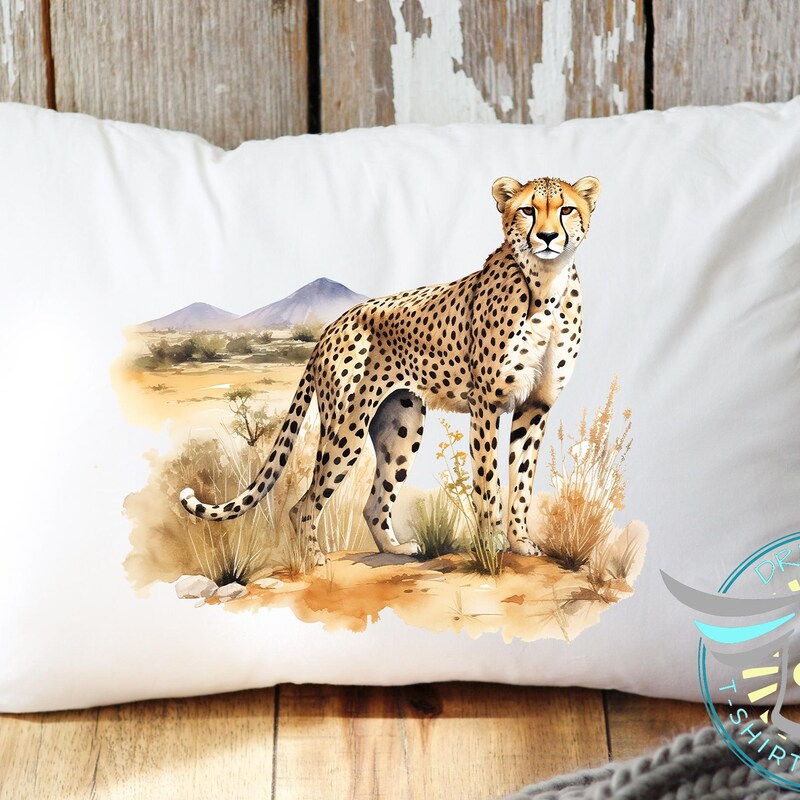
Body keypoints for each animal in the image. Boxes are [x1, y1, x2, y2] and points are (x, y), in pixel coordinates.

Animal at [180, 175, 601, 566]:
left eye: (566, 209)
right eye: (528, 210)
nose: (547, 237)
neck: (546, 287)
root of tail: (332, 325)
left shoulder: (534, 407)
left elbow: (522, 481)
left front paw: (522, 543)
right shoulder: (487, 404)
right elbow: (487, 480)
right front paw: (492, 543)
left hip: (402, 425)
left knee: (372, 502)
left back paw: (395, 549)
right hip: (345, 428)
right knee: (304, 504)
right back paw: (313, 559)